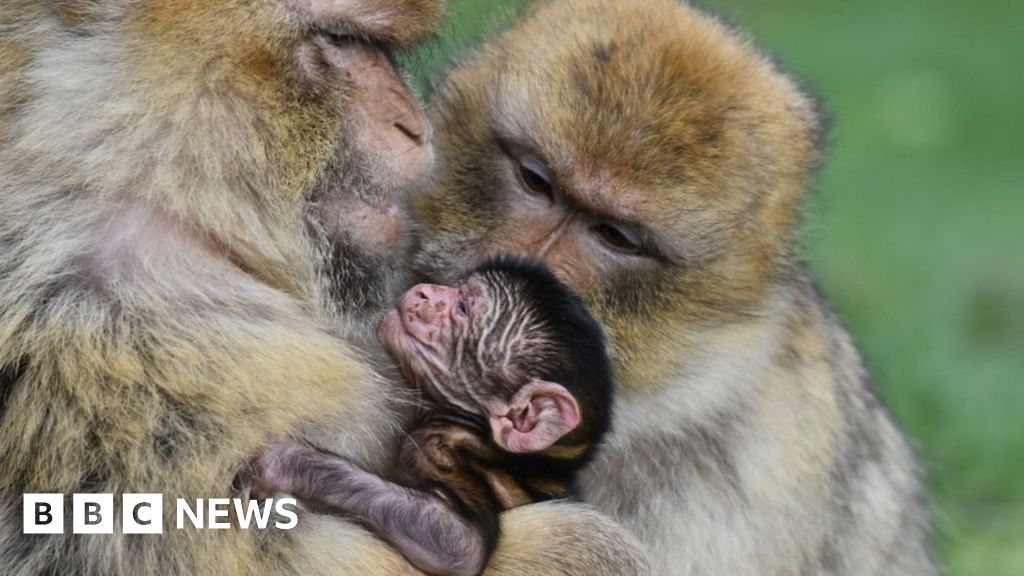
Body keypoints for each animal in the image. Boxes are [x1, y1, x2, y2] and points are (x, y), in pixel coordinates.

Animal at [248, 257, 615, 576]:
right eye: (455, 287)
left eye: (464, 308)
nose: (425, 291)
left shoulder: (438, 448)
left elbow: (460, 547)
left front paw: (291, 464)